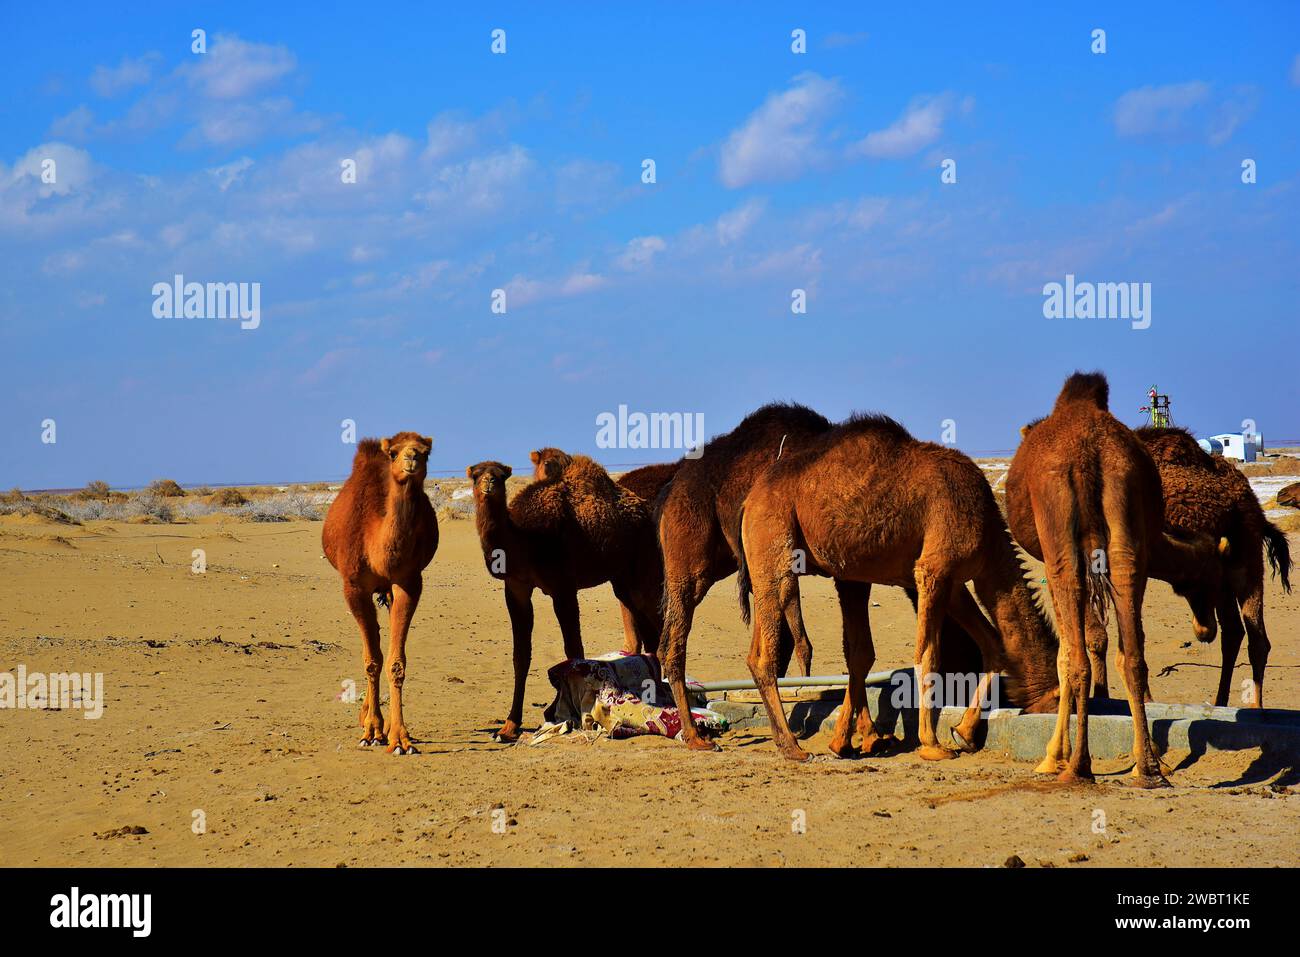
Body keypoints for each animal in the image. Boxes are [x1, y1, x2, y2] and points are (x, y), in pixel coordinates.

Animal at [322, 432, 438, 754]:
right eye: (394, 453)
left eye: (426, 451)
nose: (412, 457)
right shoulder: (353, 586)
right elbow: (372, 660)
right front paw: (371, 730)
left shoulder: (408, 582)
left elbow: (395, 662)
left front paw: (400, 738)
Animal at [467, 451, 663, 742]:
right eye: (476, 474)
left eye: (501, 475)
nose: (488, 483)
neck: (526, 539)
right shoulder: (516, 587)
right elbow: (520, 655)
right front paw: (509, 726)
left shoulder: (563, 586)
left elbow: (573, 650)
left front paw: (570, 713)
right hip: (621, 577)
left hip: (642, 565)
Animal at [736, 414, 1061, 763]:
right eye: (1058, 697)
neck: (989, 536)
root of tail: (750, 499)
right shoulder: (933, 570)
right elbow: (928, 654)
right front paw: (932, 745)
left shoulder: (955, 584)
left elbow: (993, 644)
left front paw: (963, 732)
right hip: (774, 540)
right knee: (765, 647)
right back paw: (792, 747)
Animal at [1006, 372, 1167, 786]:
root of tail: (1087, 454)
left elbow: (1064, 654)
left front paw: (1051, 756)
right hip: (1126, 510)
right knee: (1133, 654)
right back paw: (1148, 767)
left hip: (1060, 537)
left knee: (1075, 658)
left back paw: (1077, 766)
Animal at [1135, 427, 1292, 707]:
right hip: (1225, 570)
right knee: (1234, 630)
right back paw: (1220, 702)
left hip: (1245, 552)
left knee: (1256, 639)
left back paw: (1255, 707)